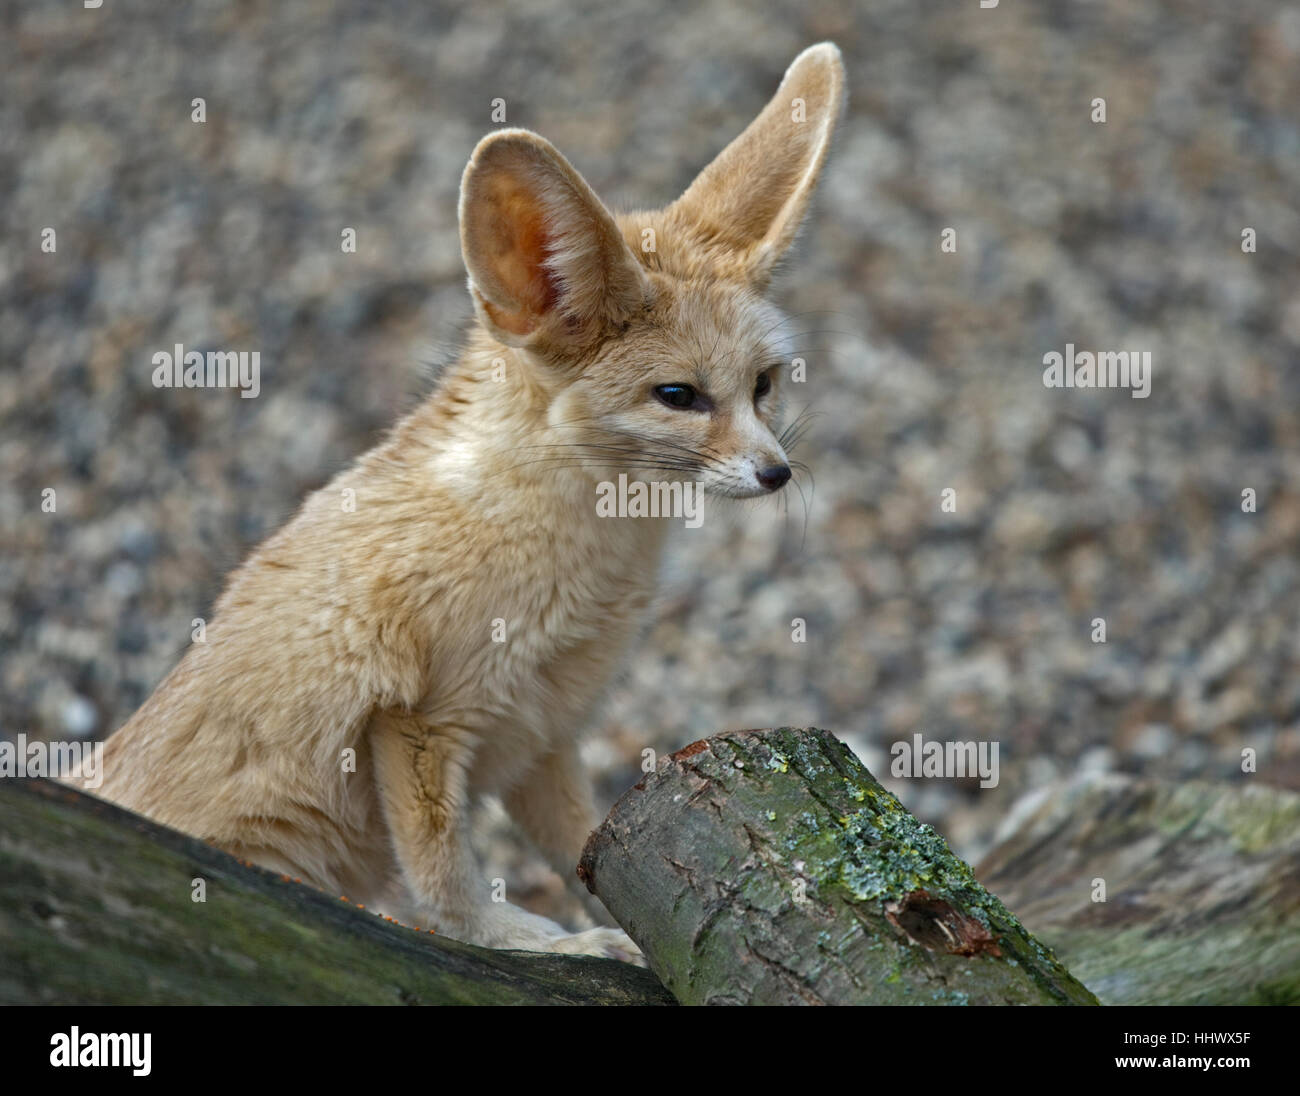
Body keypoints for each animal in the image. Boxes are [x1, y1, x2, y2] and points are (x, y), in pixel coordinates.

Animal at [70, 43, 845, 958]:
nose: (778, 473)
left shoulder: (545, 731)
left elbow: (588, 853)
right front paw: (541, 944)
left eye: (763, 385)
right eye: (678, 396)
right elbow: (445, 888)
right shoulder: (417, 721)